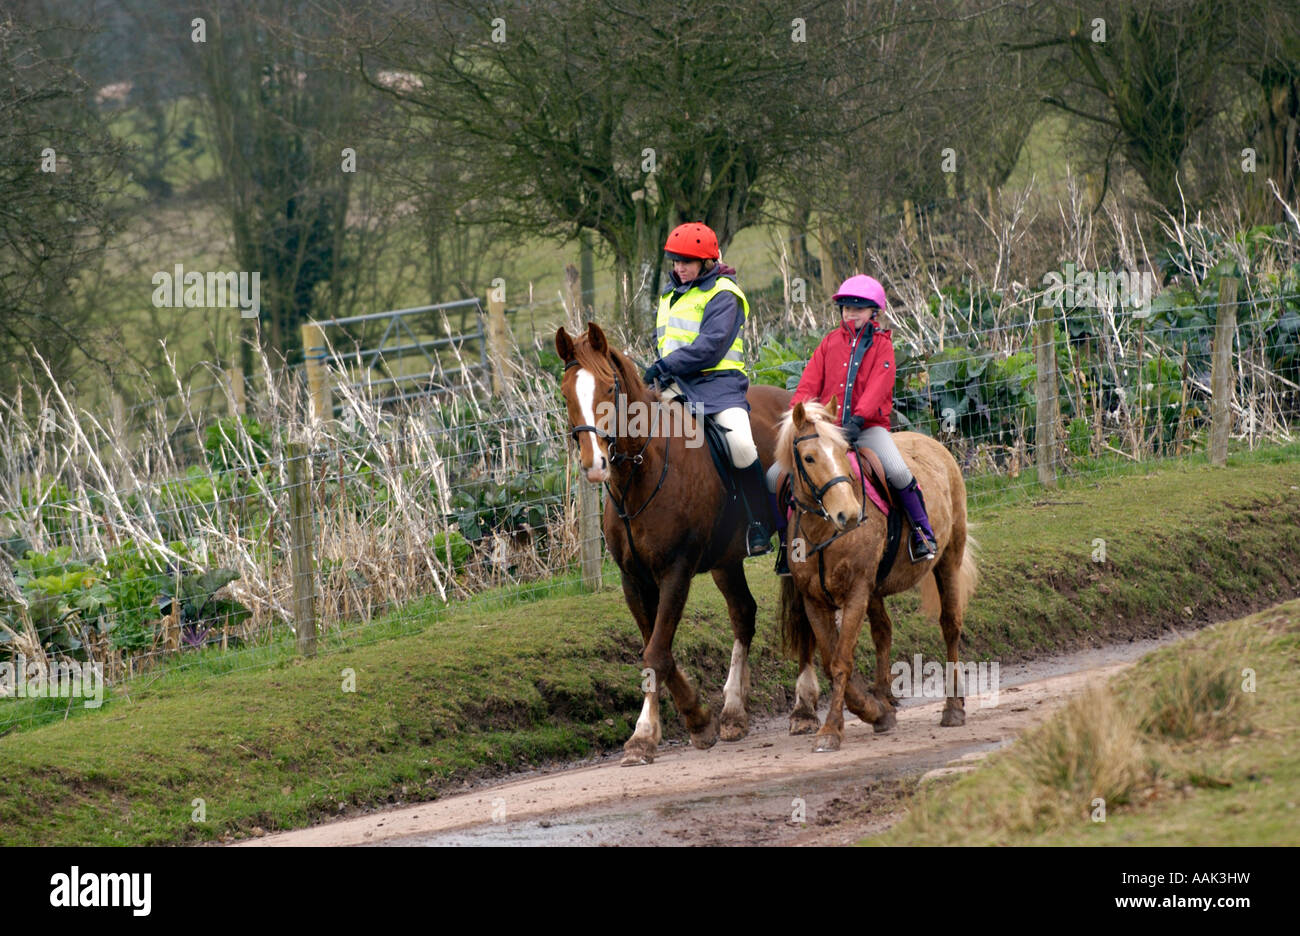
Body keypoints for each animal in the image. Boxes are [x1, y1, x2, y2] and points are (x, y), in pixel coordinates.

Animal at [554, 322, 792, 766]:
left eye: (609, 387)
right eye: (566, 392)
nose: (594, 465)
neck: (640, 476)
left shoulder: (676, 571)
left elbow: (656, 652)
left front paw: (644, 734)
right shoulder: (634, 580)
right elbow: (655, 648)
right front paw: (698, 719)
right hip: (726, 562)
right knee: (743, 614)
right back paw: (733, 712)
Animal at [776, 398, 978, 753]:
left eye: (843, 451)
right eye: (809, 457)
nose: (849, 513)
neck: (825, 530)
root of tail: (935, 444)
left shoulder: (856, 592)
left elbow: (841, 661)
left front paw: (832, 728)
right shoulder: (815, 600)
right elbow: (829, 660)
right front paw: (873, 710)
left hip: (948, 562)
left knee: (950, 625)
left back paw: (953, 707)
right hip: (876, 590)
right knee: (883, 631)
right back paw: (884, 699)